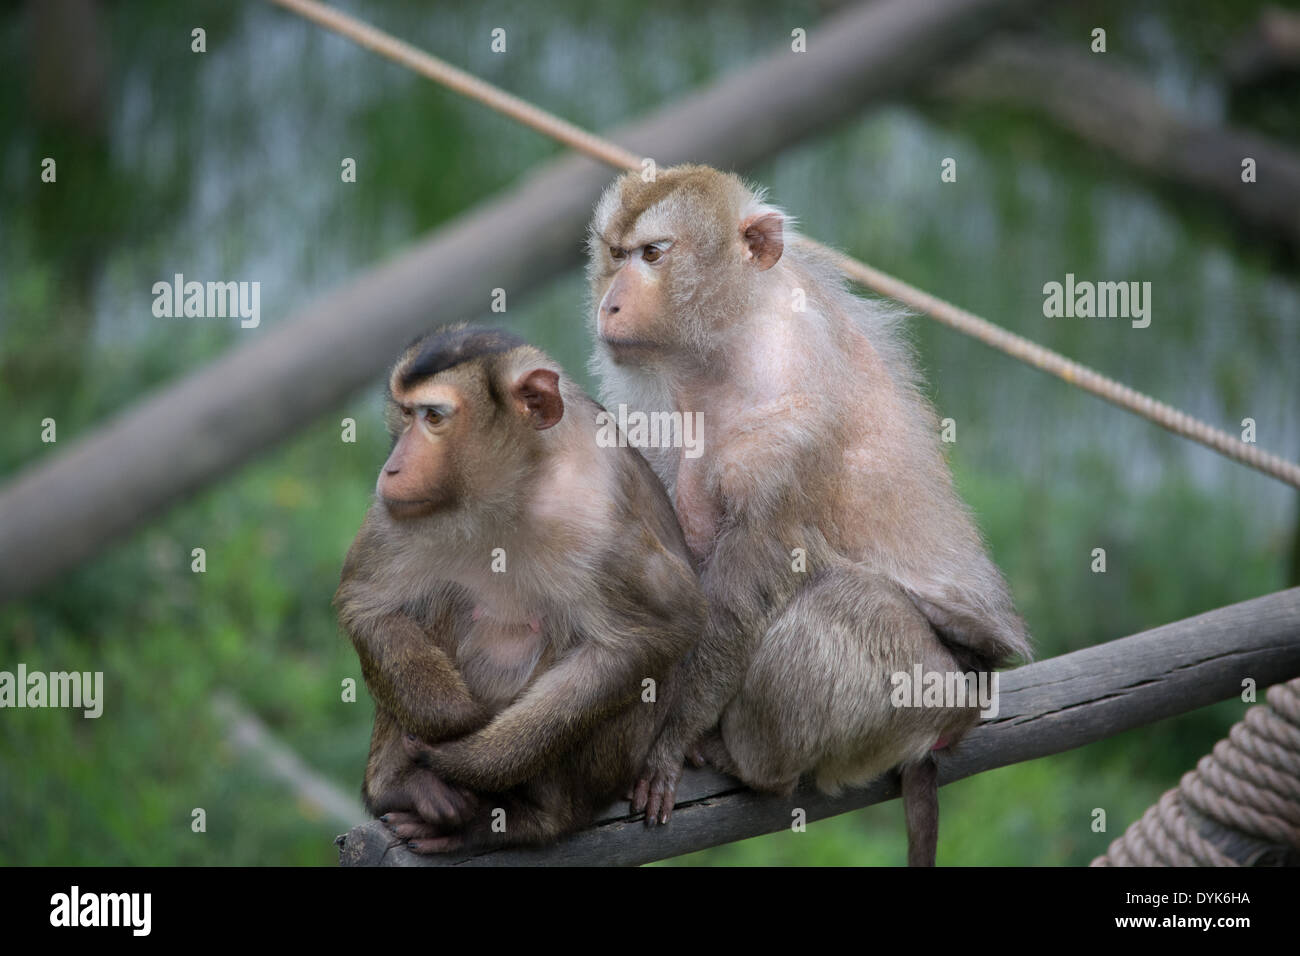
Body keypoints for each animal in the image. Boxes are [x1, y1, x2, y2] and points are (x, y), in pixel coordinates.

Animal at [334, 324, 706, 853]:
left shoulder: (599, 519)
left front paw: (470, 757)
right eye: (405, 414)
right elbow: (367, 601)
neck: (516, 485)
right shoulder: (402, 508)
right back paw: (406, 786)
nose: (393, 467)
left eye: (433, 417)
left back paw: (525, 818)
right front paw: (452, 719)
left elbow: (664, 628)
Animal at [585, 164, 1032, 865]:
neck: (733, 333)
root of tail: (964, 711)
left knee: (820, 609)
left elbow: (748, 581)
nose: (610, 302)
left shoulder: (791, 414)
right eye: (615, 253)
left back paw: (753, 766)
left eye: (653, 254)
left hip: (918, 693)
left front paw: (669, 741)